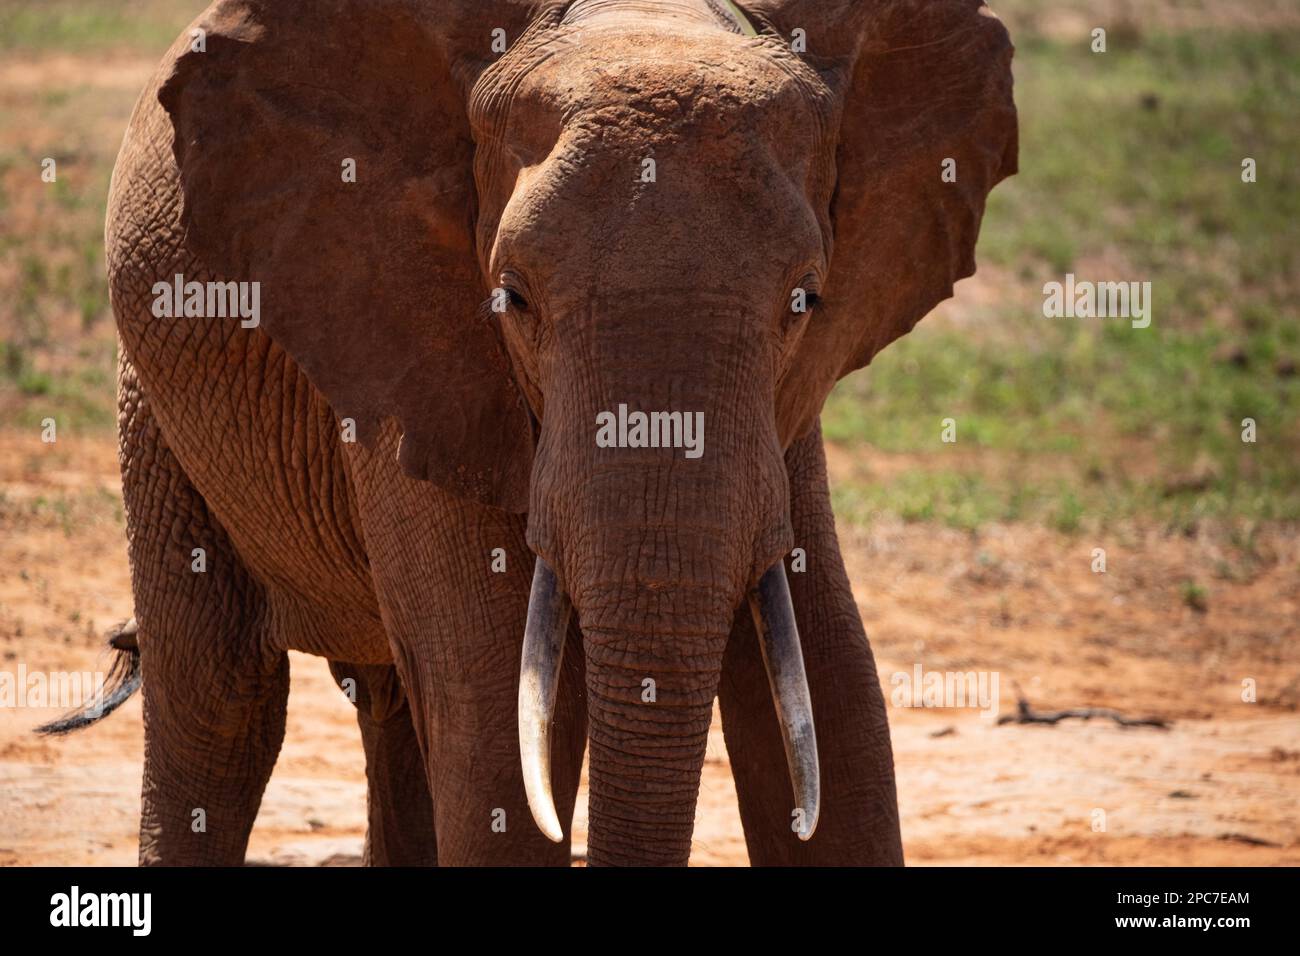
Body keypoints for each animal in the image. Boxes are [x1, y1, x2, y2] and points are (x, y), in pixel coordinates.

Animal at [69, 0, 1016, 866]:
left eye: (805, 300)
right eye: (512, 298)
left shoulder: (786, 410)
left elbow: (836, 695)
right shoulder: (405, 343)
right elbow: (496, 722)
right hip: (152, 394)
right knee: (220, 699)